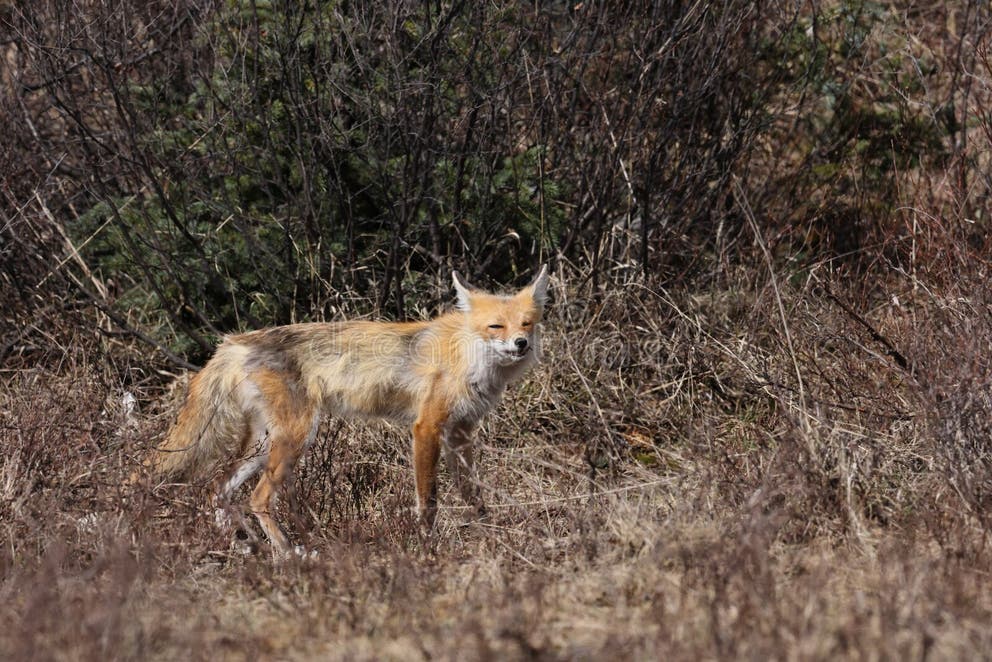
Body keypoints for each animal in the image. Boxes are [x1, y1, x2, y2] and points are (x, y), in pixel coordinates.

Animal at [139, 265, 549, 555]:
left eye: (527, 323)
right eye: (495, 326)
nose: (521, 343)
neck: (468, 357)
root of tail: (234, 341)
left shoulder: (461, 434)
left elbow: (473, 496)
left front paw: (489, 535)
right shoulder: (426, 428)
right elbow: (429, 502)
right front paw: (426, 548)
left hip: (263, 445)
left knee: (217, 489)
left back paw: (243, 546)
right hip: (296, 438)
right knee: (256, 499)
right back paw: (288, 554)